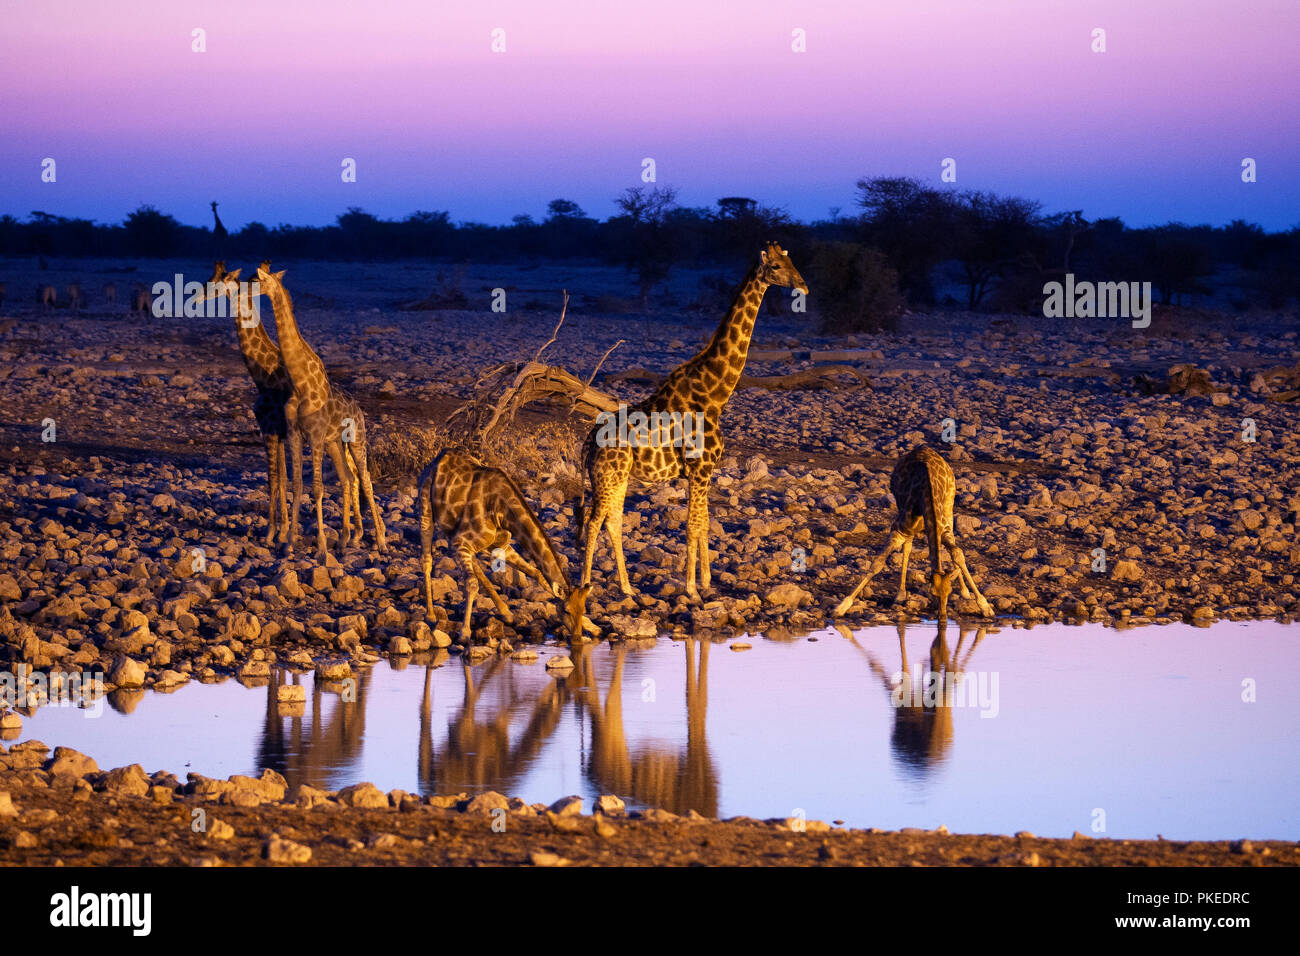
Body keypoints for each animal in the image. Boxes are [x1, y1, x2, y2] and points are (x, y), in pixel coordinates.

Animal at [199, 261, 295, 545]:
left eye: (213, 282)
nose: (196, 296)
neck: (262, 376)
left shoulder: (269, 428)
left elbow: (273, 479)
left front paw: (270, 533)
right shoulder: (278, 432)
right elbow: (283, 479)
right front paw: (283, 531)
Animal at [256, 264, 386, 561]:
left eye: (257, 280)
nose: (246, 291)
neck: (302, 383)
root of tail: (359, 410)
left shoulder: (314, 437)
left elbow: (317, 488)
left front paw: (322, 548)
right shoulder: (295, 434)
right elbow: (298, 485)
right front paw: (288, 543)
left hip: (357, 441)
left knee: (366, 480)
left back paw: (381, 542)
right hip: (335, 443)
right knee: (348, 478)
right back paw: (346, 539)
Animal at [418, 447, 595, 642]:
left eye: (583, 610)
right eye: (566, 611)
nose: (577, 637)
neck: (502, 510)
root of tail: (439, 457)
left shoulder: (499, 546)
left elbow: (538, 575)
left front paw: (592, 628)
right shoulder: (461, 542)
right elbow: (471, 583)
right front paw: (464, 632)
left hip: (459, 536)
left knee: (475, 565)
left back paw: (506, 612)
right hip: (427, 510)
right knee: (427, 560)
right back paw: (430, 615)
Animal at [579, 241, 807, 600]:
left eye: (790, 261)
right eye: (775, 267)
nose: (803, 285)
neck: (715, 395)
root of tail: (588, 442)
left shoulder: (707, 471)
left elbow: (705, 522)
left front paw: (707, 582)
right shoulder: (699, 469)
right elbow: (692, 525)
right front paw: (691, 588)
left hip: (618, 478)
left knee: (613, 521)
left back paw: (628, 588)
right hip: (607, 476)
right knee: (594, 520)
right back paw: (586, 584)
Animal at [834, 445, 994, 619]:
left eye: (950, 592)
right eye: (932, 593)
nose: (942, 616)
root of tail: (923, 447)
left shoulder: (942, 529)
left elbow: (957, 554)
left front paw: (985, 606)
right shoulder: (899, 528)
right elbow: (878, 563)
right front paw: (842, 606)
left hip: (949, 507)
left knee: (950, 545)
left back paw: (965, 591)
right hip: (902, 511)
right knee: (908, 548)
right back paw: (900, 594)